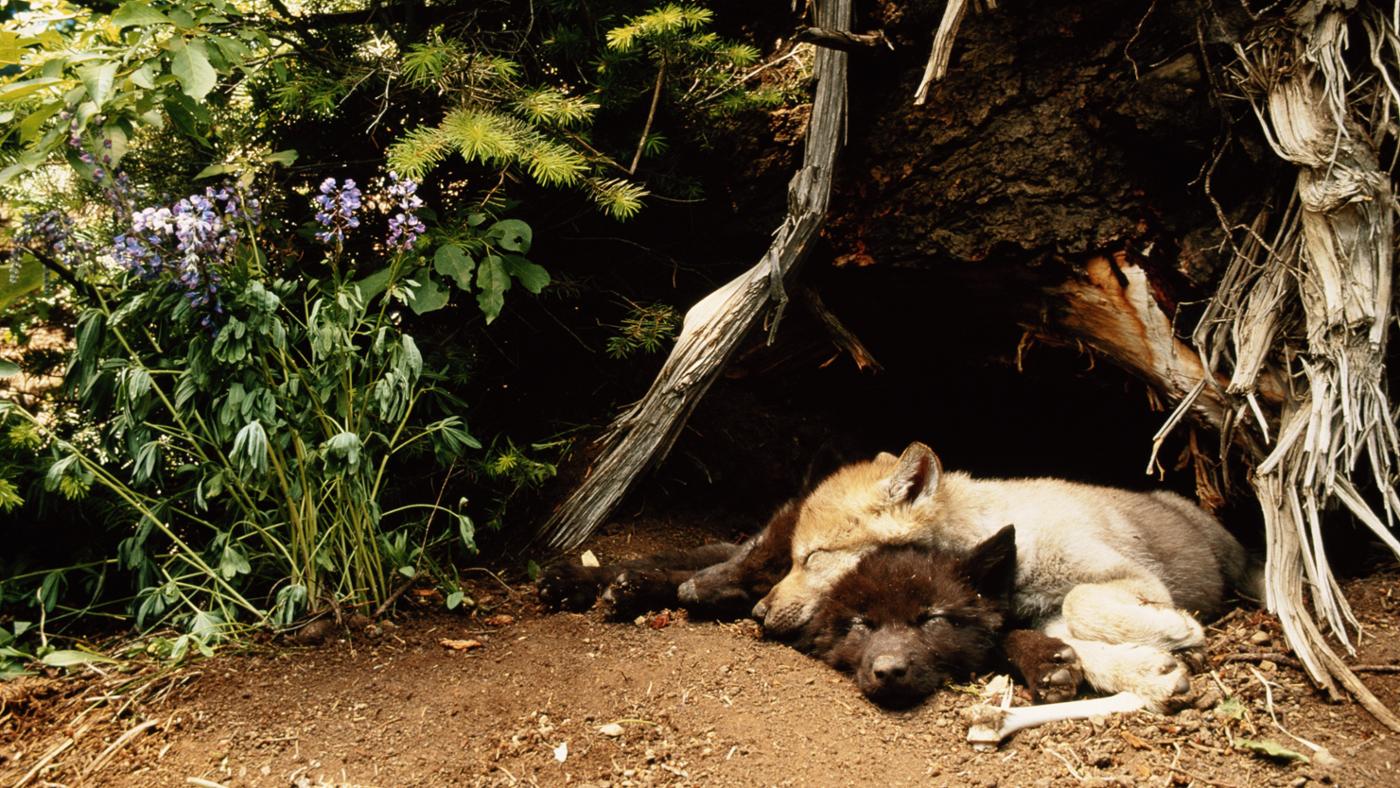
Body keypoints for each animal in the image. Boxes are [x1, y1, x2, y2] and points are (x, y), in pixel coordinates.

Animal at [755, 442, 1255, 711]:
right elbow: (1078, 644)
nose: (758, 612)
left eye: (812, 557)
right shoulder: (1044, 617)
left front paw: (1179, 631)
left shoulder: (1132, 579)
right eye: (795, 558)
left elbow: (1082, 603)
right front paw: (1148, 671)